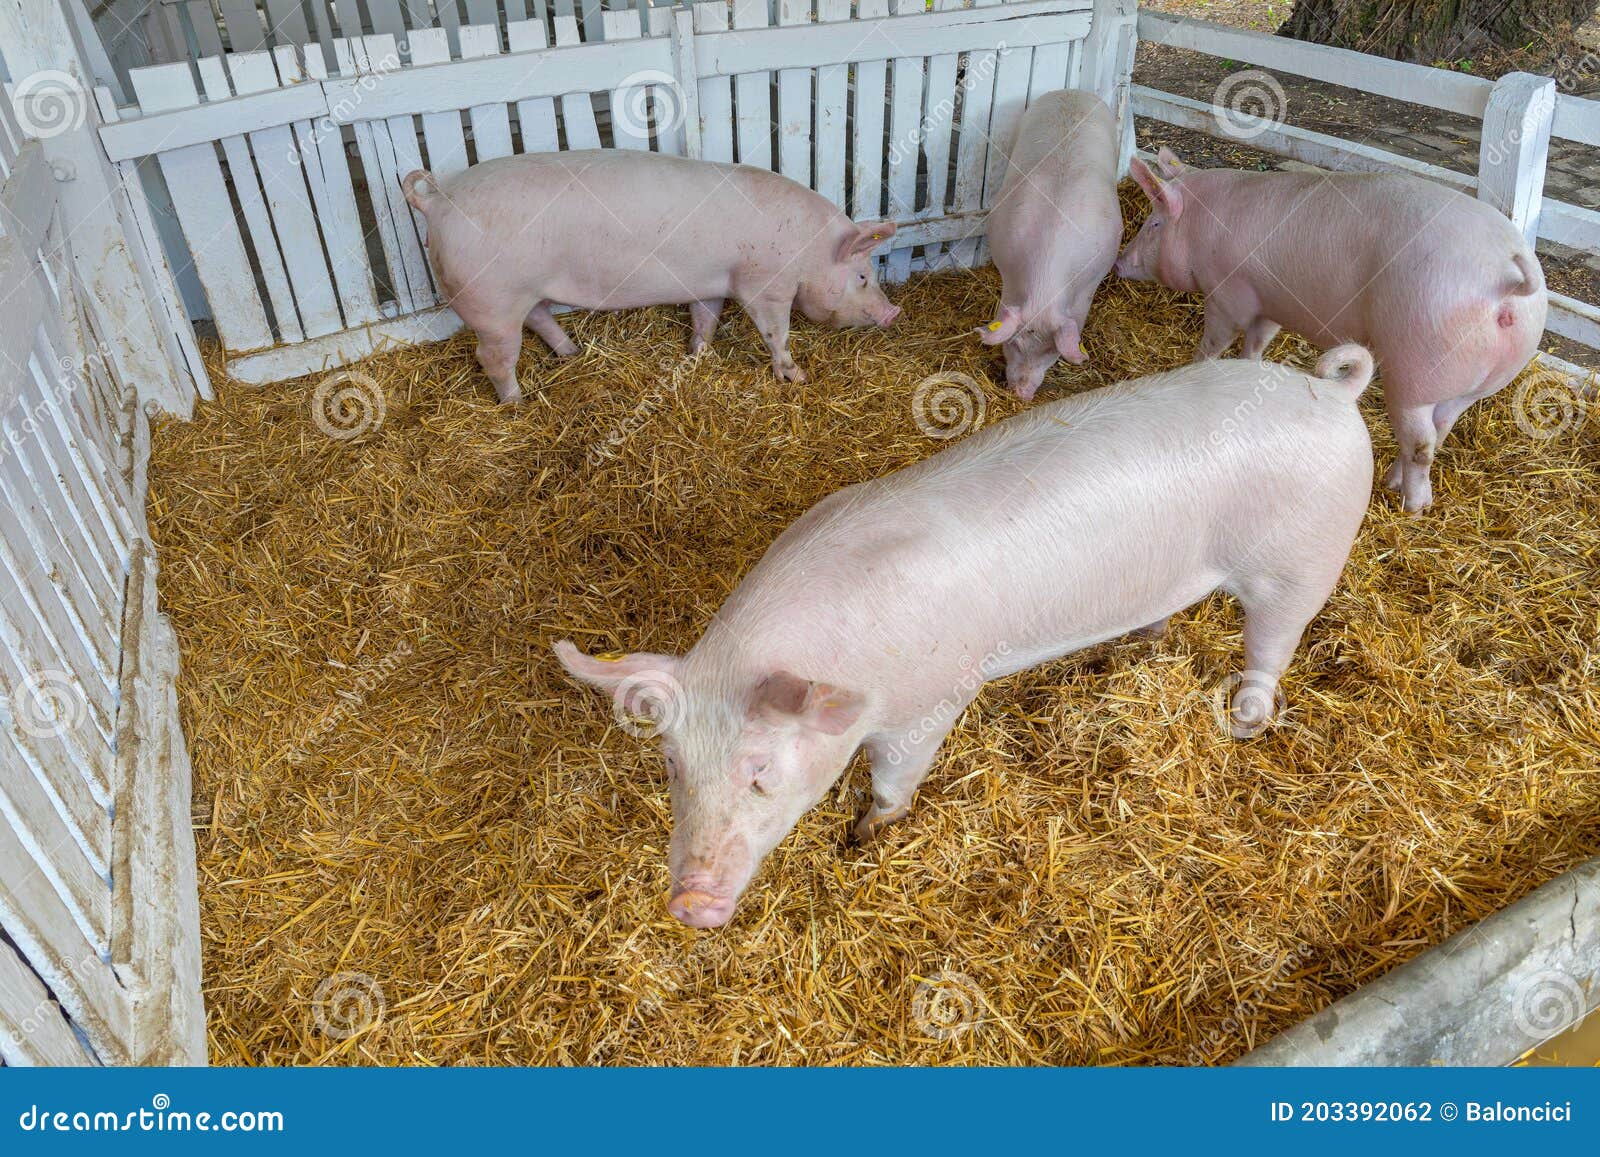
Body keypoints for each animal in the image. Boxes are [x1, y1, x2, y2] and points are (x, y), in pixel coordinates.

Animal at [402, 150, 902, 404]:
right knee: (493, 358)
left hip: (521, 295)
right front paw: (795, 377)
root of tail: (436, 202)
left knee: (541, 317)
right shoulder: (764, 285)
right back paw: (517, 404)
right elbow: (775, 334)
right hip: (491, 304)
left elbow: (705, 320)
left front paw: (697, 356)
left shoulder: (710, 283)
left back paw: (573, 353)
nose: (893, 312)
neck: (808, 250)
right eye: (862, 275)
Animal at [556, 346, 1376, 928]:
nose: (689, 904)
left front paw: (862, 834)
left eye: (759, 770)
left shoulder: (933, 699)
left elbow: (896, 779)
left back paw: (1243, 722)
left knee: (1272, 649)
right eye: (671, 764)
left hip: (1302, 564)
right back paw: (1137, 644)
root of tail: (1333, 393)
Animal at [1114, 148, 1548, 512]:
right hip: (1481, 381)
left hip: (1416, 366)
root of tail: (1507, 278)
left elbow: (1215, 341)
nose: (1119, 263)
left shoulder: (1227, 294)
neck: (1202, 226)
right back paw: (1395, 483)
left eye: (1154, 223)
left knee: (1422, 442)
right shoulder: (1270, 304)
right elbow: (1256, 344)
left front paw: (1197, 364)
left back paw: (1411, 506)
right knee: (1441, 428)